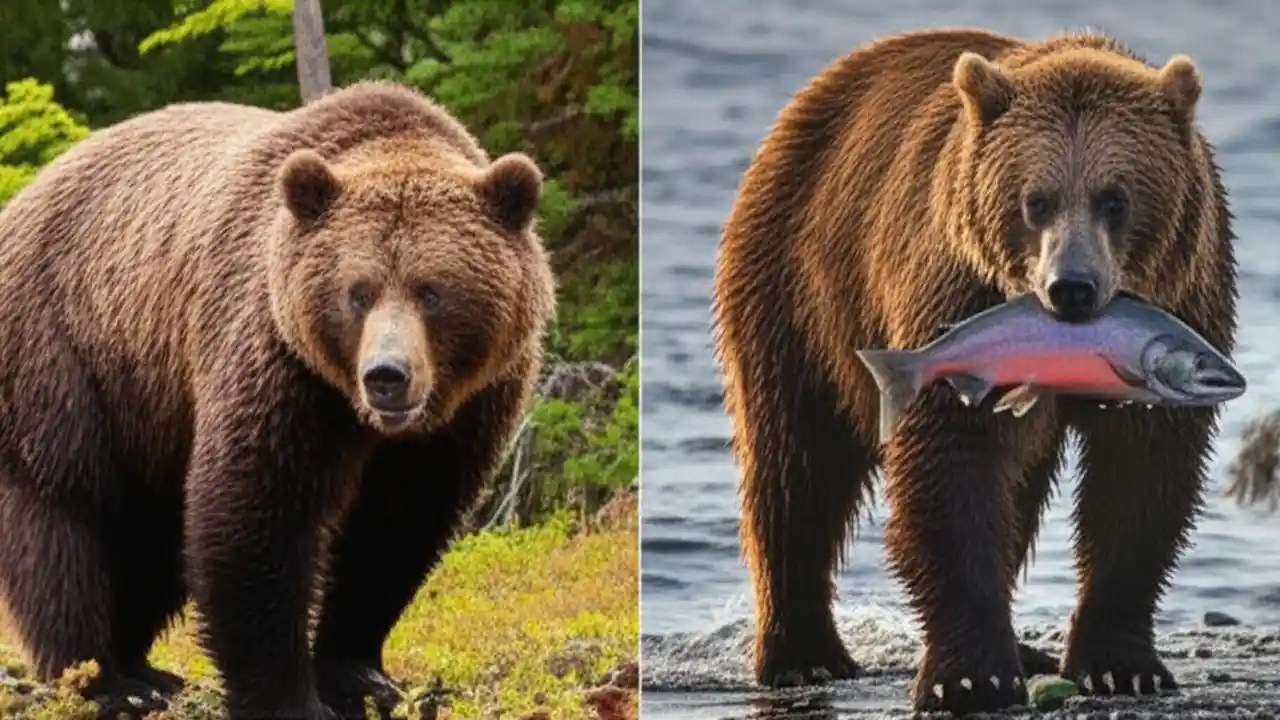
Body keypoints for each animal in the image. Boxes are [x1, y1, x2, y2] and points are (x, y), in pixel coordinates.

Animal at [0, 81, 556, 719]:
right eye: (357, 292)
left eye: (432, 291)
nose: (386, 376)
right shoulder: (281, 361)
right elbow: (256, 512)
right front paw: (290, 695)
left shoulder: (465, 411)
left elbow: (398, 526)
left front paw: (360, 675)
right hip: (65, 355)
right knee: (65, 518)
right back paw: (106, 681)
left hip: (148, 409)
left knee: (151, 536)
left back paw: (147, 669)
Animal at [712, 28, 1235, 714]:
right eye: (1035, 200)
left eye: (1115, 199)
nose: (1071, 288)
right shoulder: (957, 297)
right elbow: (951, 464)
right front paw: (968, 677)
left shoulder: (1189, 296)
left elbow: (1143, 477)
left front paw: (1122, 665)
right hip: (800, 284)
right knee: (797, 461)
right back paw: (803, 655)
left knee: (1017, 490)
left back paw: (1025, 648)